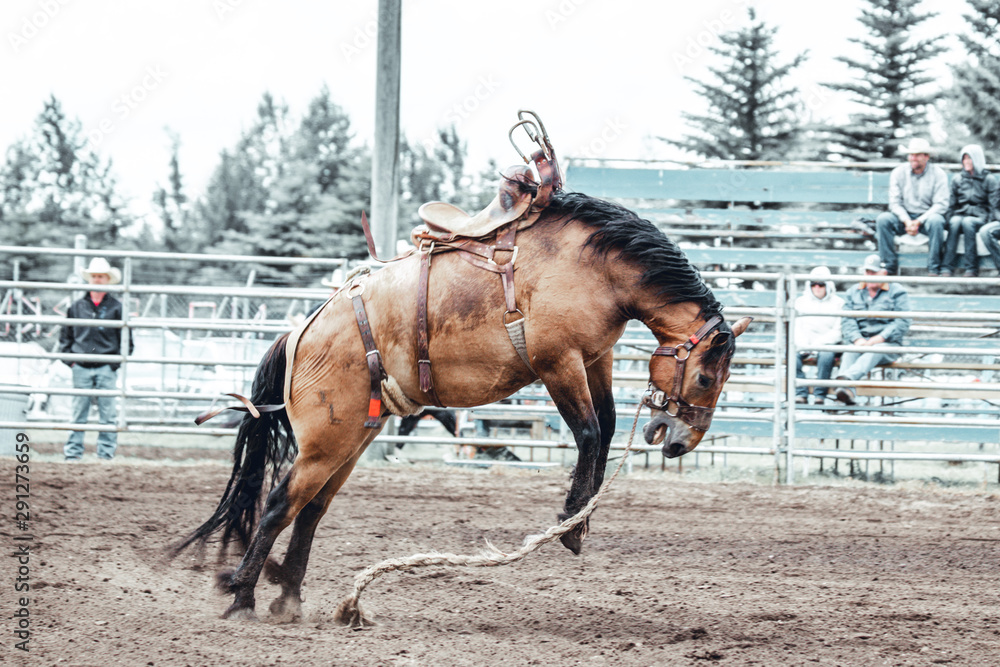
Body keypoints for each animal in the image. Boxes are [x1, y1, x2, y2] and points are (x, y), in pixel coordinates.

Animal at [173, 189, 752, 622]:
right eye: (706, 376)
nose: (679, 443)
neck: (594, 265)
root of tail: (303, 331)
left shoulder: (595, 358)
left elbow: (606, 428)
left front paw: (580, 523)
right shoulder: (557, 361)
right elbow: (589, 432)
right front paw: (569, 526)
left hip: (351, 439)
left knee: (310, 509)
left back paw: (289, 599)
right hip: (325, 439)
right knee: (278, 505)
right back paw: (242, 599)